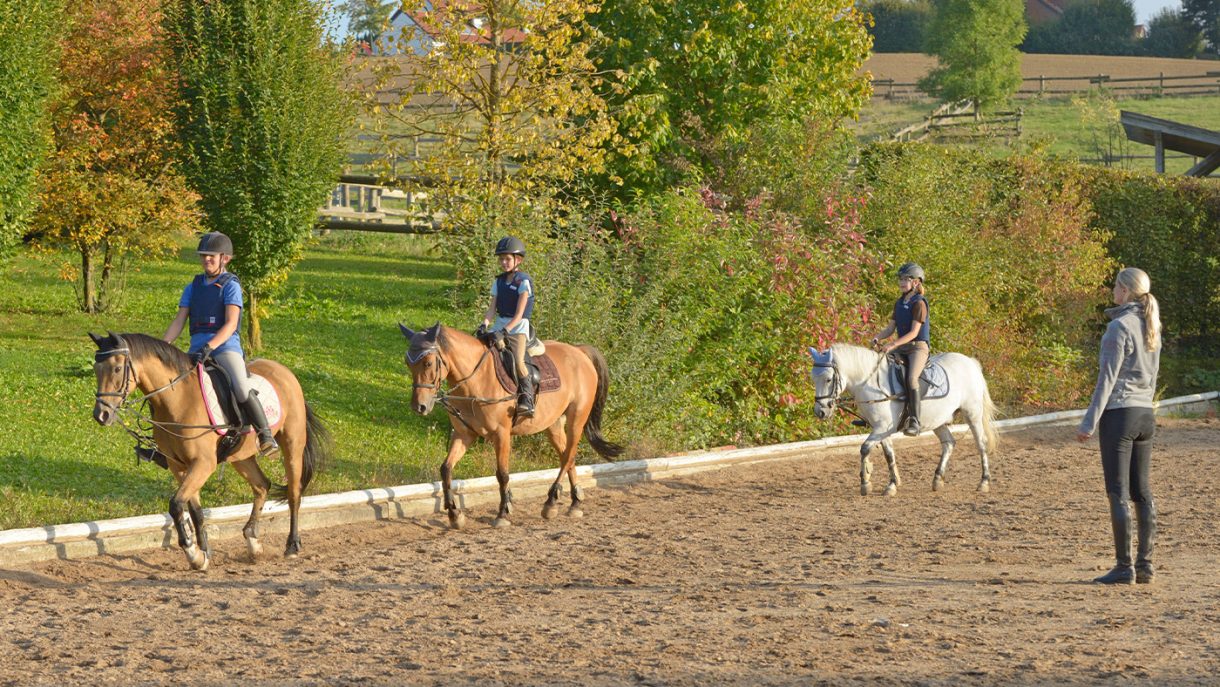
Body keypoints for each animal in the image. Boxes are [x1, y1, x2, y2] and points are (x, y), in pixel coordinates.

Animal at [90, 332, 331, 570]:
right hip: (241, 456)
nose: (101, 415)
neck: (178, 399)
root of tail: (285, 371)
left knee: (293, 493)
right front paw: (203, 554)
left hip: (292, 445)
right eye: (96, 368)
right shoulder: (179, 466)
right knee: (262, 485)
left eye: (117, 369)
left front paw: (192, 552)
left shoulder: (203, 463)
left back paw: (292, 546)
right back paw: (253, 542)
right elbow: (194, 510)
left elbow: (176, 504)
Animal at [399, 323, 624, 529]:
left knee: (568, 455)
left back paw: (550, 503)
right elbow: (446, 469)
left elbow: (502, 474)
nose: (419, 406)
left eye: (428, 363)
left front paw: (502, 513)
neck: (476, 379)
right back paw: (574, 503)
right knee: (566, 456)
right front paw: (455, 515)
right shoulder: (464, 434)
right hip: (553, 425)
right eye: (408, 364)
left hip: (577, 417)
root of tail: (579, 351)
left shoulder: (501, 433)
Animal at [808, 343, 999, 496]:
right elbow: (888, 454)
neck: (870, 383)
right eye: (813, 378)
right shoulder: (880, 428)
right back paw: (937, 479)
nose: (821, 411)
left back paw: (984, 482)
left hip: (972, 413)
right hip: (937, 420)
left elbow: (864, 449)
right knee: (949, 443)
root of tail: (970, 362)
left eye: (828, 379)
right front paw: (892, 484)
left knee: (981, 443)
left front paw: (865, 483)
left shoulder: (883, 427)